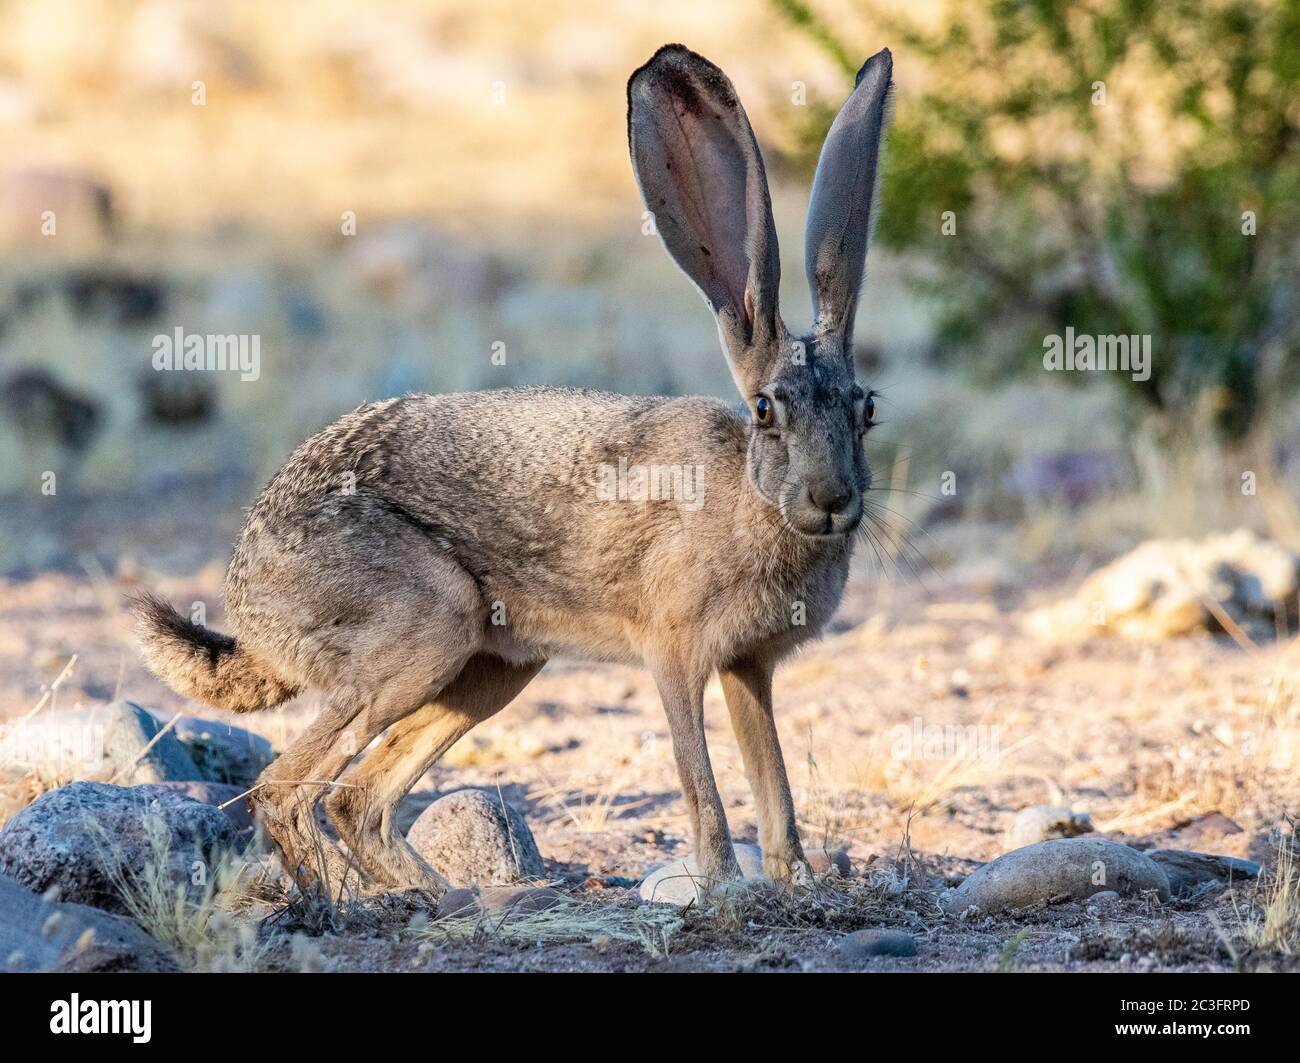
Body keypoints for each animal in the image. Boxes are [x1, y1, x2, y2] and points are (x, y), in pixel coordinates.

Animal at [133, 43, 893, 897]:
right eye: (766, 410)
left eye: (867, 409)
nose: (831, 500)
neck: (751, 498)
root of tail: (249, 596)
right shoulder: (675, 651)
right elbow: (700, 780)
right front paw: (724, 884)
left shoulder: (749, 667)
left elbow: (775, 782)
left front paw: (797, 881)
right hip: (425, 628)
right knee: (286, 786)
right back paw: (348, 904)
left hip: (487, 669)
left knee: (359, 797)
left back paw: (439, 897)